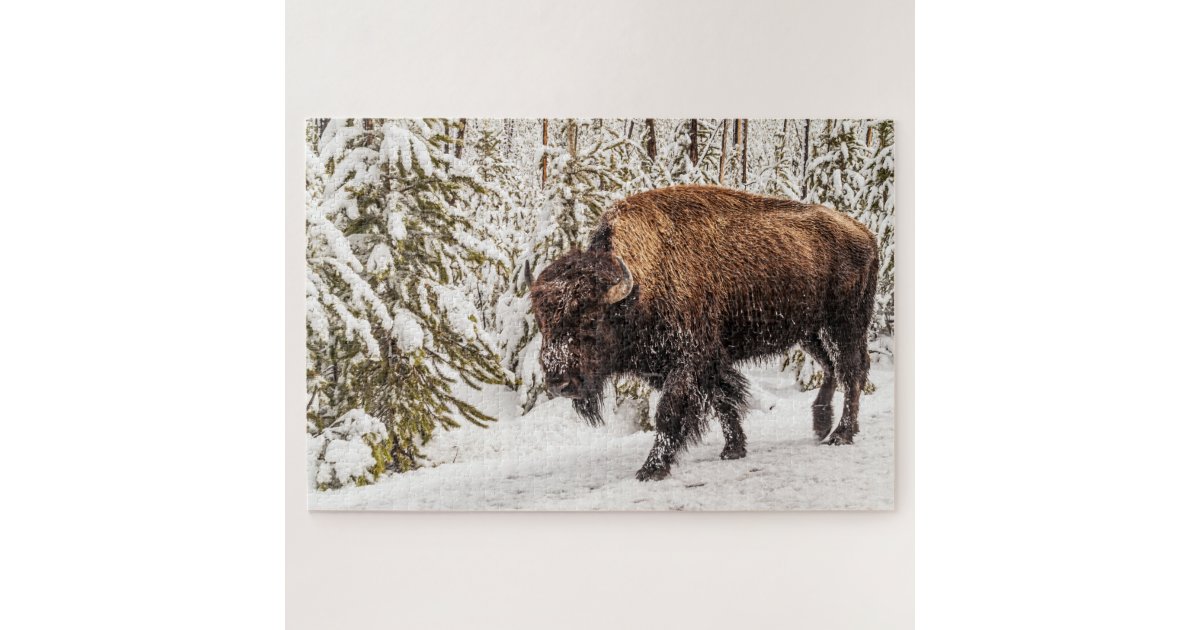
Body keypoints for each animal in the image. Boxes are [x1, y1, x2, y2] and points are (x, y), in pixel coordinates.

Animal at [528, 185, 879, 481]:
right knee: (831, 367)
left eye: (590, 320)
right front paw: (733, 450)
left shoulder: (689, 360)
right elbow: (722, 401)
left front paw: (651, 469)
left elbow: (670, 412)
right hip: (810, 332)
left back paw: (841, 434)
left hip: (845, 324)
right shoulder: (697, 363)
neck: (641, 284)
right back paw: (821, 425)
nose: (560, 383)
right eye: (542, 322)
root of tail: (864, 232)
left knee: (851, 371)